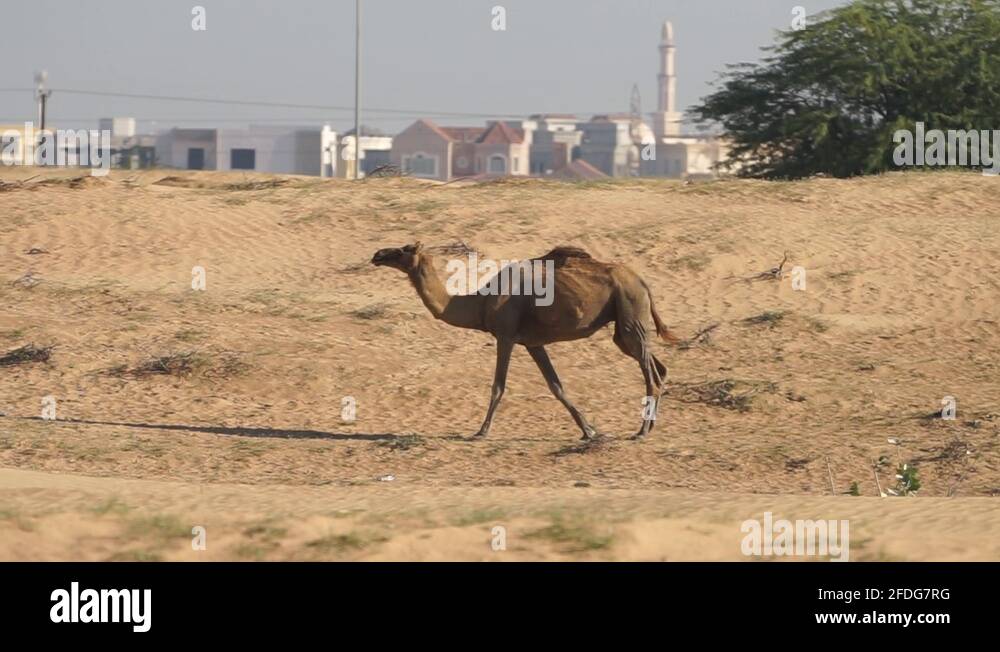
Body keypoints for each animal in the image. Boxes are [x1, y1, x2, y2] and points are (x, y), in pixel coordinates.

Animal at [371, 242, 679, 440]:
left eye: (405, 249)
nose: (378, 254)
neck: (481, 302)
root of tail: (642, 281)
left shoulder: (505, 336)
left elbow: (498, 385)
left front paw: (481, 431)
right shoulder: (533, 343)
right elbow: (556, 386)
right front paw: (589, 430)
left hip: (629, 311)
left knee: (651, 373)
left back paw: (641, 432)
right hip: (624, 325)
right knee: (658, 367)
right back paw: (649, 426)